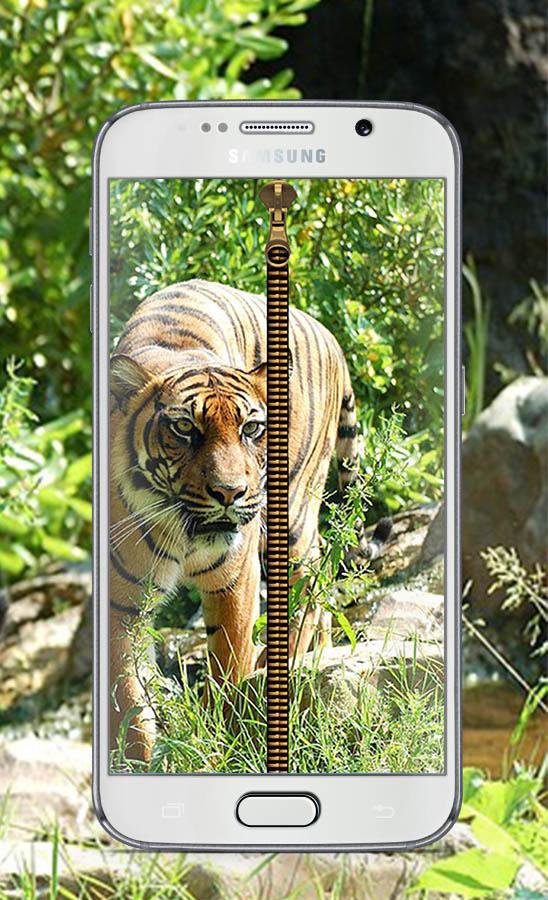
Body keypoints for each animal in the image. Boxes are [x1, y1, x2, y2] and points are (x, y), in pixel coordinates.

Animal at [109, 278, 391, 761]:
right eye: (185, 429)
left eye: (251, 429)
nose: (229, 492)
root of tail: (332, 338)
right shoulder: (121, 600)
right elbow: (126, 691)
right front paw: (137, 758)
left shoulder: (234, 579)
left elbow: (228, 660)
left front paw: (221, 741)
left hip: (292, 513)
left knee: (310, 583)